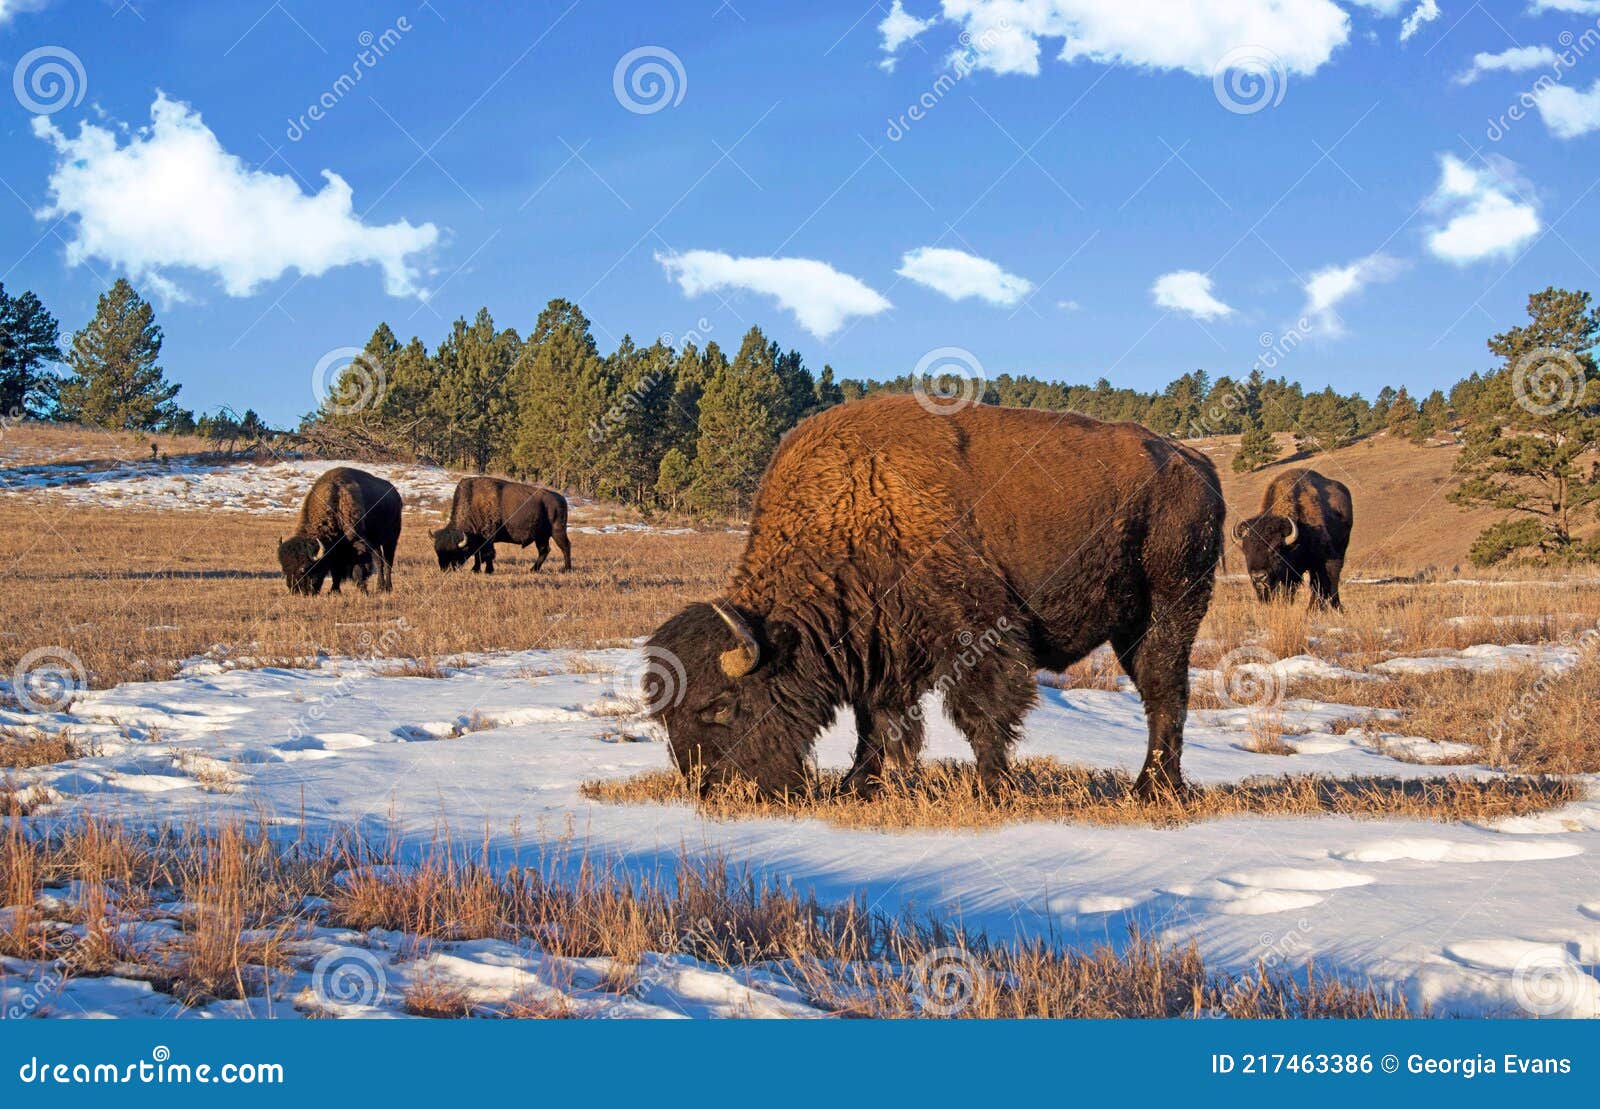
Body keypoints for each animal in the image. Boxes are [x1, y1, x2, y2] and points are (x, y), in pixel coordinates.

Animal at [278, 467, 401, 595]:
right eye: (285, 568)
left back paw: (388, 588)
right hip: (376, 543)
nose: (296, 591)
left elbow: (357, 570)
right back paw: (380, 587)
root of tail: (395, 494)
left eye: (305, 569)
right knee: (379, 561)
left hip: (391, 539)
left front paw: (363, 590)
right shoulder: (336, 550)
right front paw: (334, 591)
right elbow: (336, 571)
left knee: (388, 562)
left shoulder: (357, 545)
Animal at [431, 477, 572, 574]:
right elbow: (478, 554)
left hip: (557, 531)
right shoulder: (478, 540)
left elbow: (487, 554)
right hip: (541, 536)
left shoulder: (488, 538)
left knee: (565, 547)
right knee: (544, 550)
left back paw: (567, 569)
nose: (445, 569)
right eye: (438, 552)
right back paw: (533, 569)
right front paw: (475, 570)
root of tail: (562, 499)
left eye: (453, 552)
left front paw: (488, 570)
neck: (474, 504)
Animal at [644, 395, 1225, 801]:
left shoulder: (977, 635)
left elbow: (982, 715)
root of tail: (1194, 463)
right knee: (1161, 694)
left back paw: (1153, 790)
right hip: (1136, 625)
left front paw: (994, 791)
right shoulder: (876, 647)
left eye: (720, 706)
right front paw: (856, 788)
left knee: (1165, 693)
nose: (710, 791)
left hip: (1170, 609)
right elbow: (873, 724)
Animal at [1232, 467, 1353, 609]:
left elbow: (1323, 582)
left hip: (1341, 548)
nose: (1258, 577)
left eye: (1275, 551)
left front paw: (1315, 609)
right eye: (1246, 552)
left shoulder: (1324, 559)